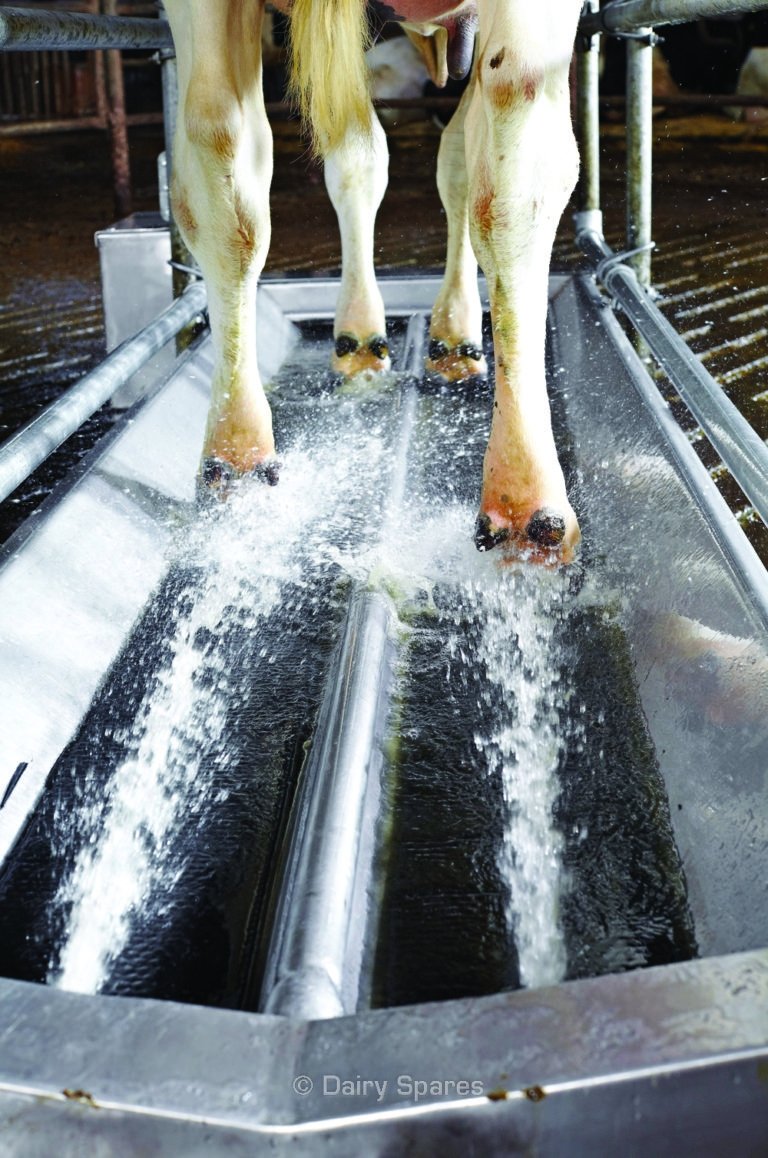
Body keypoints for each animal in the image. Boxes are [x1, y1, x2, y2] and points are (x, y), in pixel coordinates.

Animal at [163, 1, 582, 563]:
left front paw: (525, 499)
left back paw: (456, 340)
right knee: (392, 153)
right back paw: (367, 340)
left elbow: (516, 164)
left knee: (464, 154)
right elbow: (222, 147)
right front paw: (236, 452)